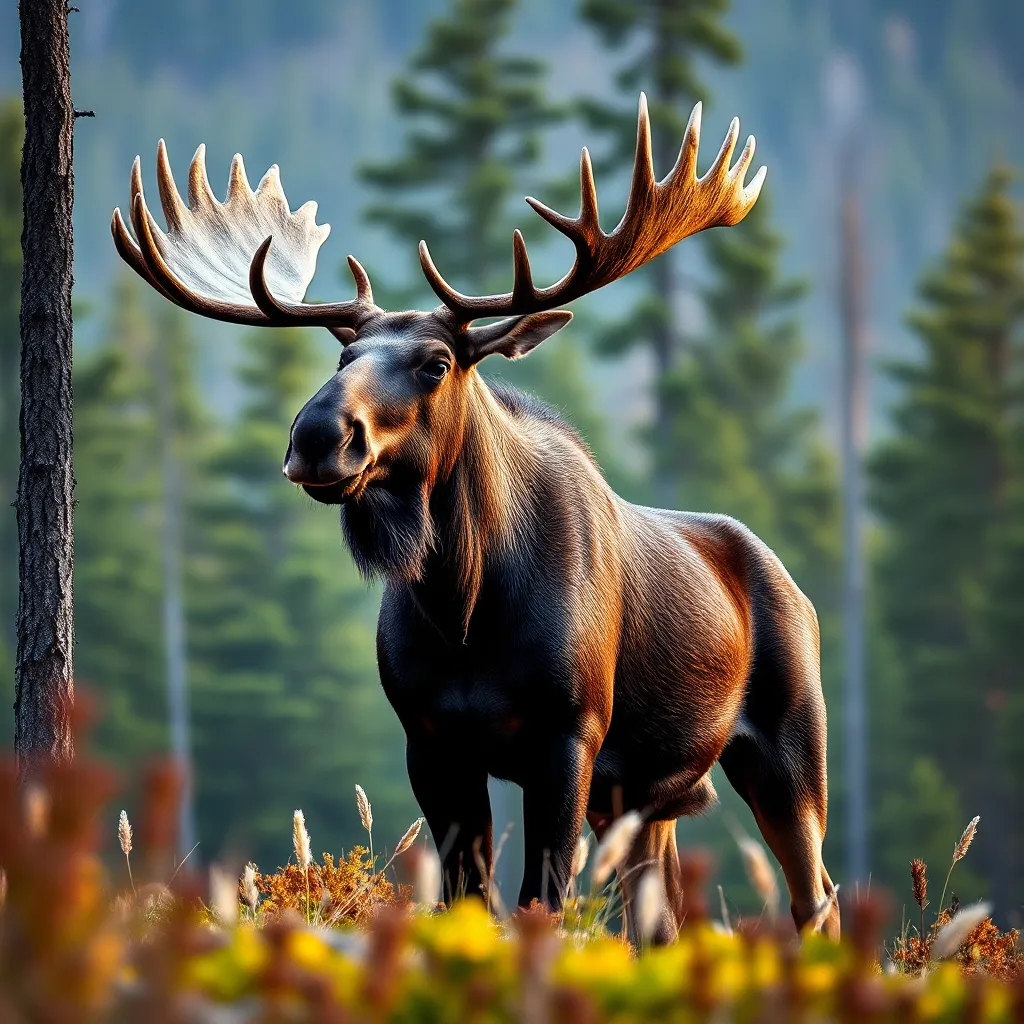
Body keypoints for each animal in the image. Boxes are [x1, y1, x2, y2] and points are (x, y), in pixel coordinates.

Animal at [112, 94, 839, 943]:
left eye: (436, 362)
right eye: (343, 357)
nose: (317, 436)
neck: (465, 605)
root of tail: (801, 595)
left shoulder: (570, 735)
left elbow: (541, 902)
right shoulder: (432, 741)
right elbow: (470, 898)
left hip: (790, 746)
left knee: (816, 895)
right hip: (645, 799)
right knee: (659, 917)